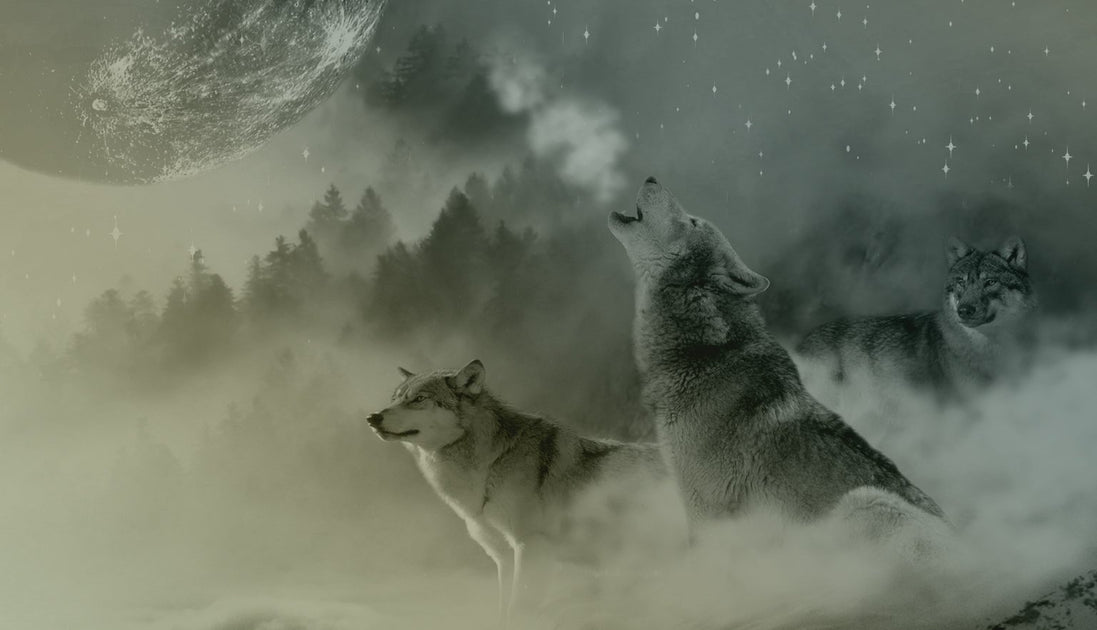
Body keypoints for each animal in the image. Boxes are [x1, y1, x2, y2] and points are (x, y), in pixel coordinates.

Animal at [366, 359, 671, 627]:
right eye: (395, 399)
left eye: (418, 399)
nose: (372, 417)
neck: (491, 464)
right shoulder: (503, 557)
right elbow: (503, 612)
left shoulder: (530, 548)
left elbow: (517, 611)